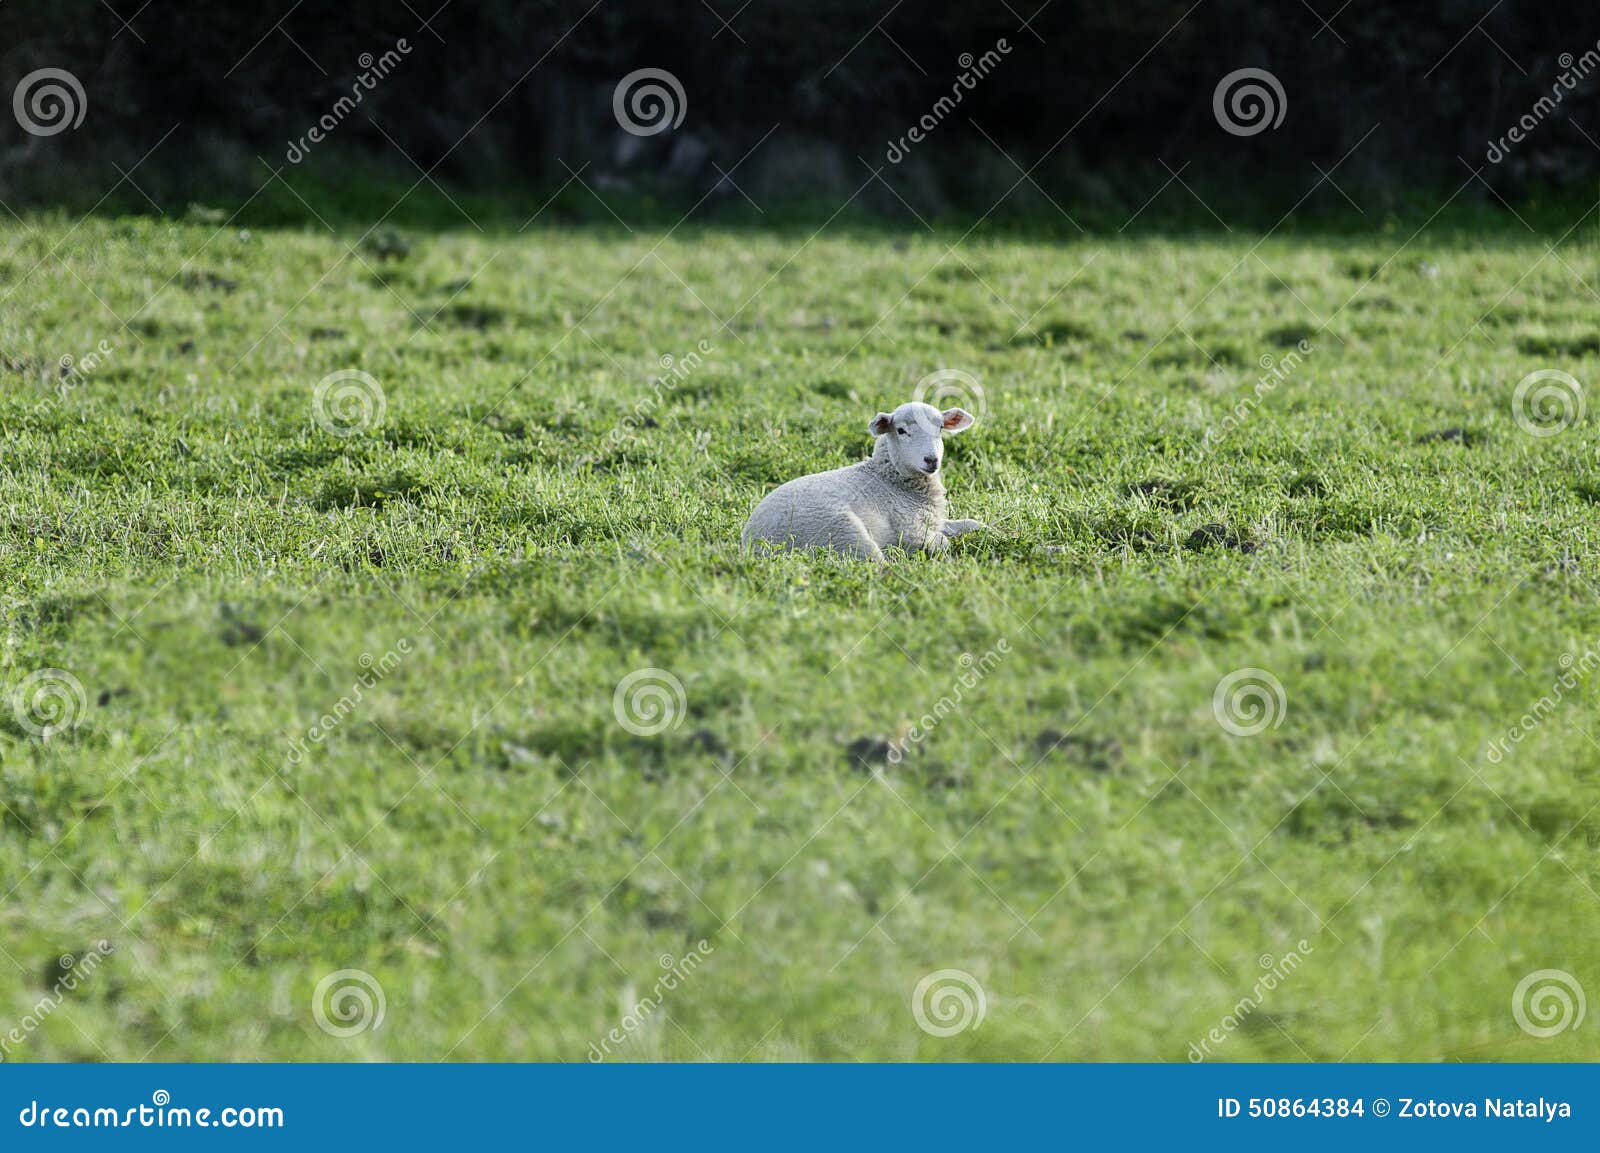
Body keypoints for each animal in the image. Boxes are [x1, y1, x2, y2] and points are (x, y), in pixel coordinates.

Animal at [742, 402, 983, 560]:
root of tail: (752, 544)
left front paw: (987, 530)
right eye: (901, 430)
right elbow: (942, 542)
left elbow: (972, 524)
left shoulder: (935, 521)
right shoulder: (911, 531)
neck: (891, 480)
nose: (931, 460)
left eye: (941, 428)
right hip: (841, 532)